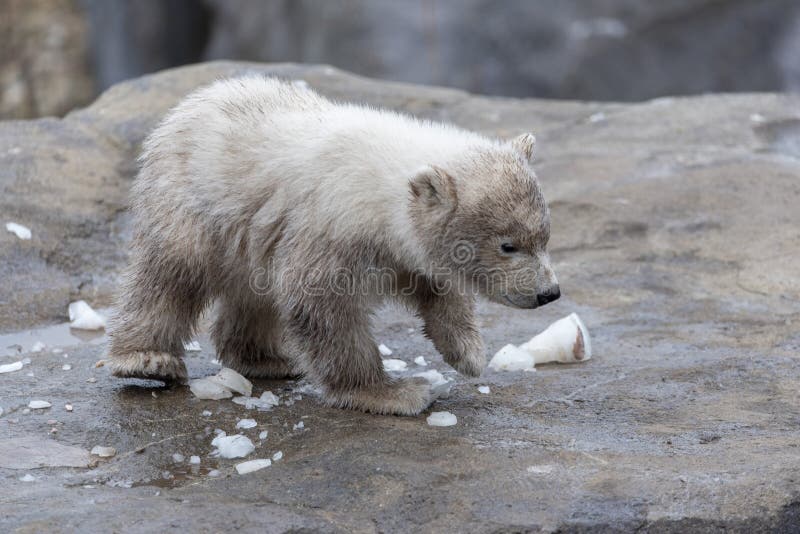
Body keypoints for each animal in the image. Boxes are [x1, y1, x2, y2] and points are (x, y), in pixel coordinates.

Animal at [108, 76, 560, 415]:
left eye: (544, 236)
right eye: (508, 245)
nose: (549, 293)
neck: (379, 188)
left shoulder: (400, 248)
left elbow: (436, 285)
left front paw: (468, 353)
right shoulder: (330, 228)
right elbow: (322, 308)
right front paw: (395, 393)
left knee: (254, 293)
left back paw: (268, 359)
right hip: (191, 205)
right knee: (170, 275)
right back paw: (148, 360)